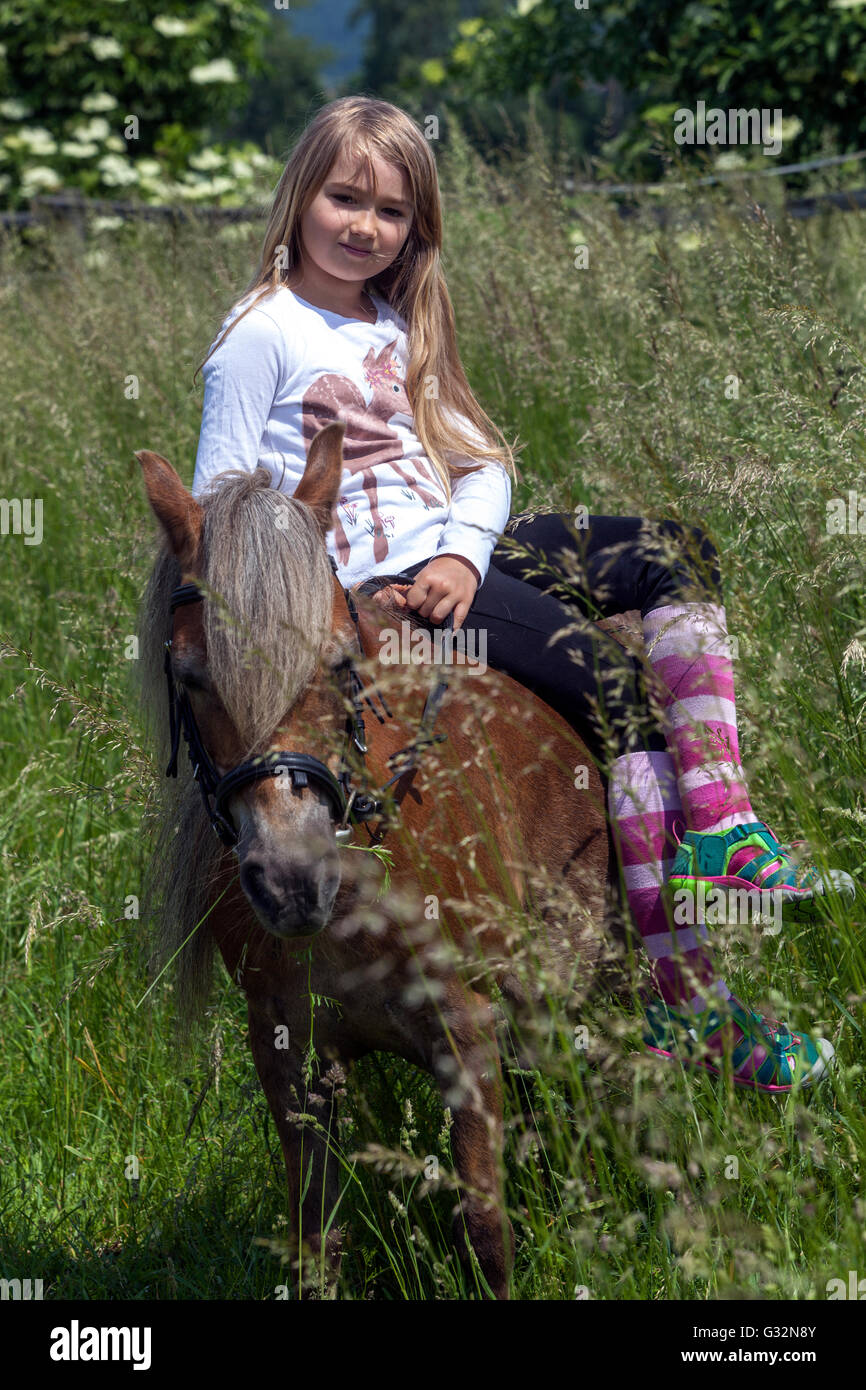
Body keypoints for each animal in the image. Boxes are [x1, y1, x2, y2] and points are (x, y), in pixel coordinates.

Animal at [135, 421, 636, 1300]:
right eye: (191, 677)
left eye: (340, 662)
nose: (293, 881)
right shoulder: (290, 1049)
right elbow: (317, 1243)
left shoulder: (465, 1034)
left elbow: (485, 1234)